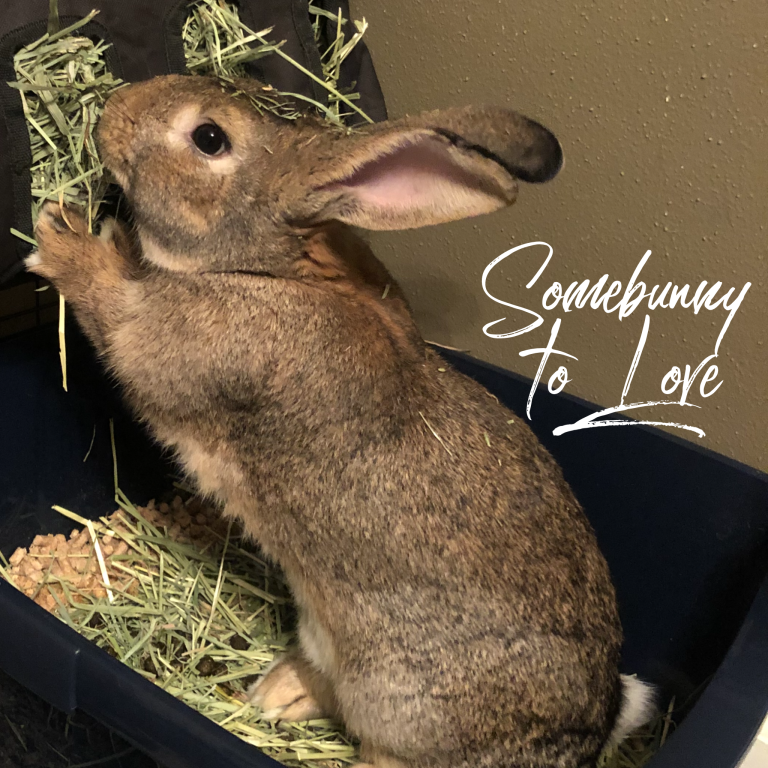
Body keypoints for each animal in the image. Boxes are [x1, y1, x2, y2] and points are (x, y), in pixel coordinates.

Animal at [27, 74, 654, 768]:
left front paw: (61, 235)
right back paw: (278, 692)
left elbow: (112, 312)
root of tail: (588, 735)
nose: (113, 110)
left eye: (209, 137)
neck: (273, 267)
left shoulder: (164, 342)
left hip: (393, 703)